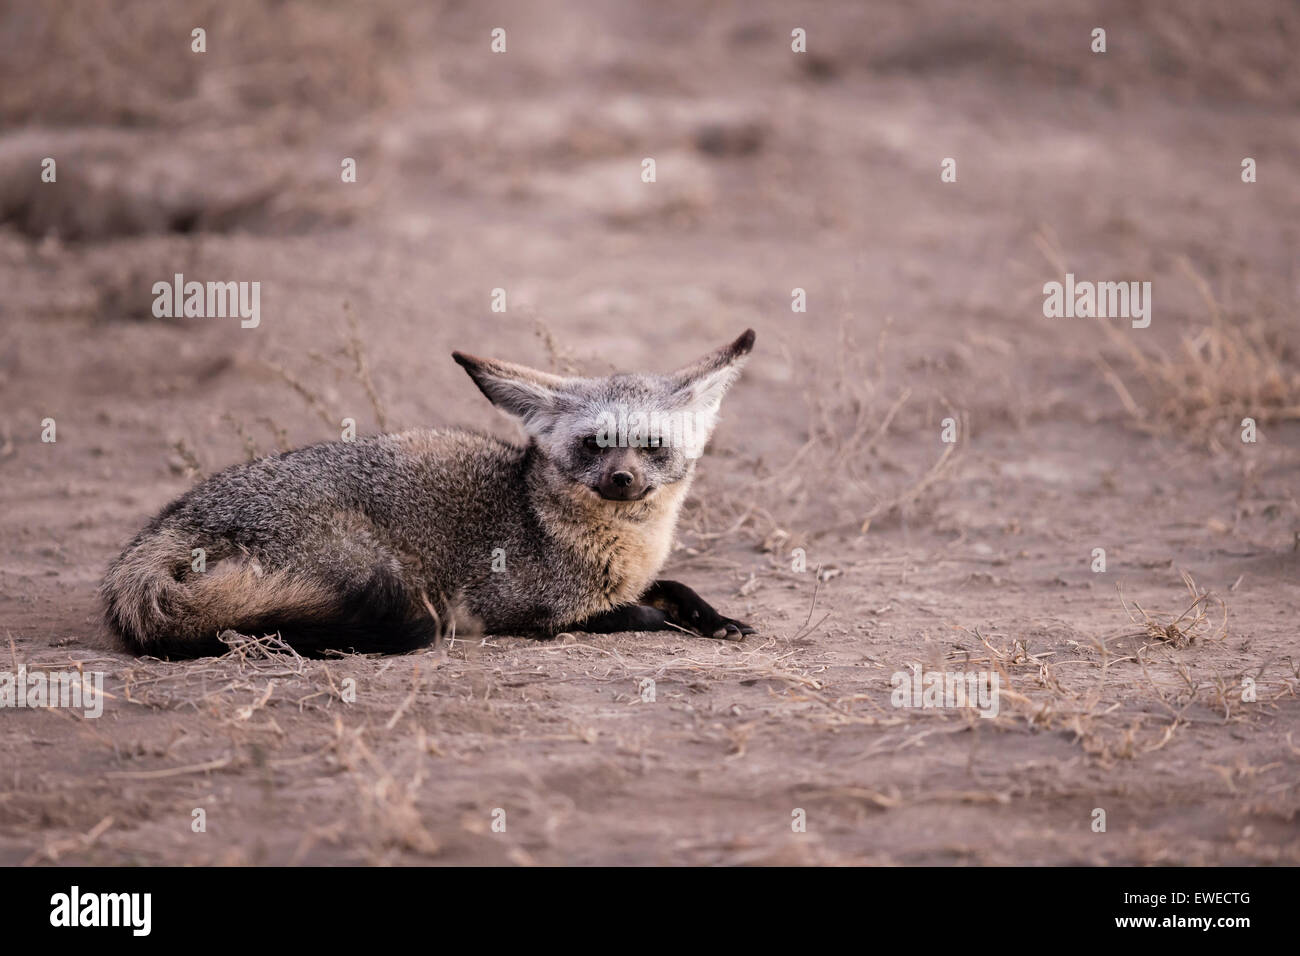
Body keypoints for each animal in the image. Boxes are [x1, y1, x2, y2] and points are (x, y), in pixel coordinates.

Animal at [102, 329, 758, 658]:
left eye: (650, 445)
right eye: (595, 445)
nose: (622, 480)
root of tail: (168, 524)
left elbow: (674, 586)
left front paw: (716, 617)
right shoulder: (521, 608)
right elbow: (638, 613)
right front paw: (672, 621)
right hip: (377, 570)